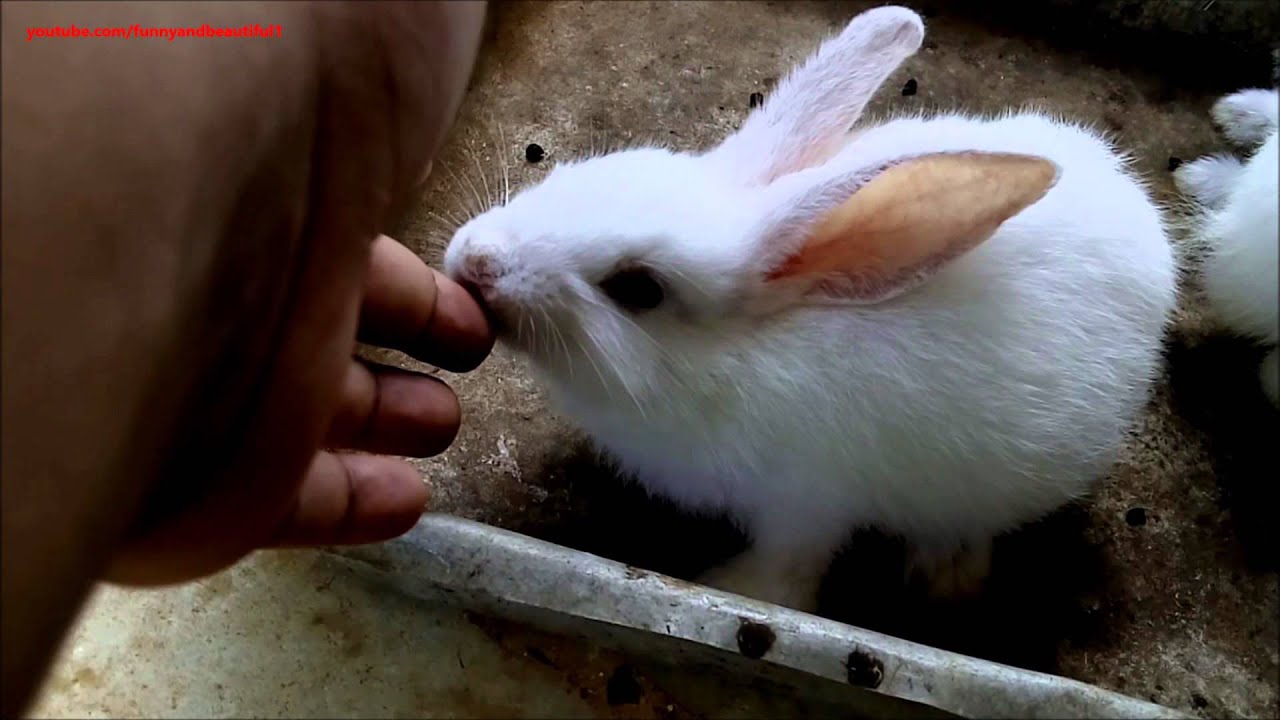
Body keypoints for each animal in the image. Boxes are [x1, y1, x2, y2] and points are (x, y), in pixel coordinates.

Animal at [443, 6, 1178, 612]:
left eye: (637, 290)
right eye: (573, 174)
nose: (475, 261)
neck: (721, 364)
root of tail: (1145, 229)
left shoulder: (804, 504)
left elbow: (788, 573)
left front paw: (728, 587)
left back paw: (945, 571)